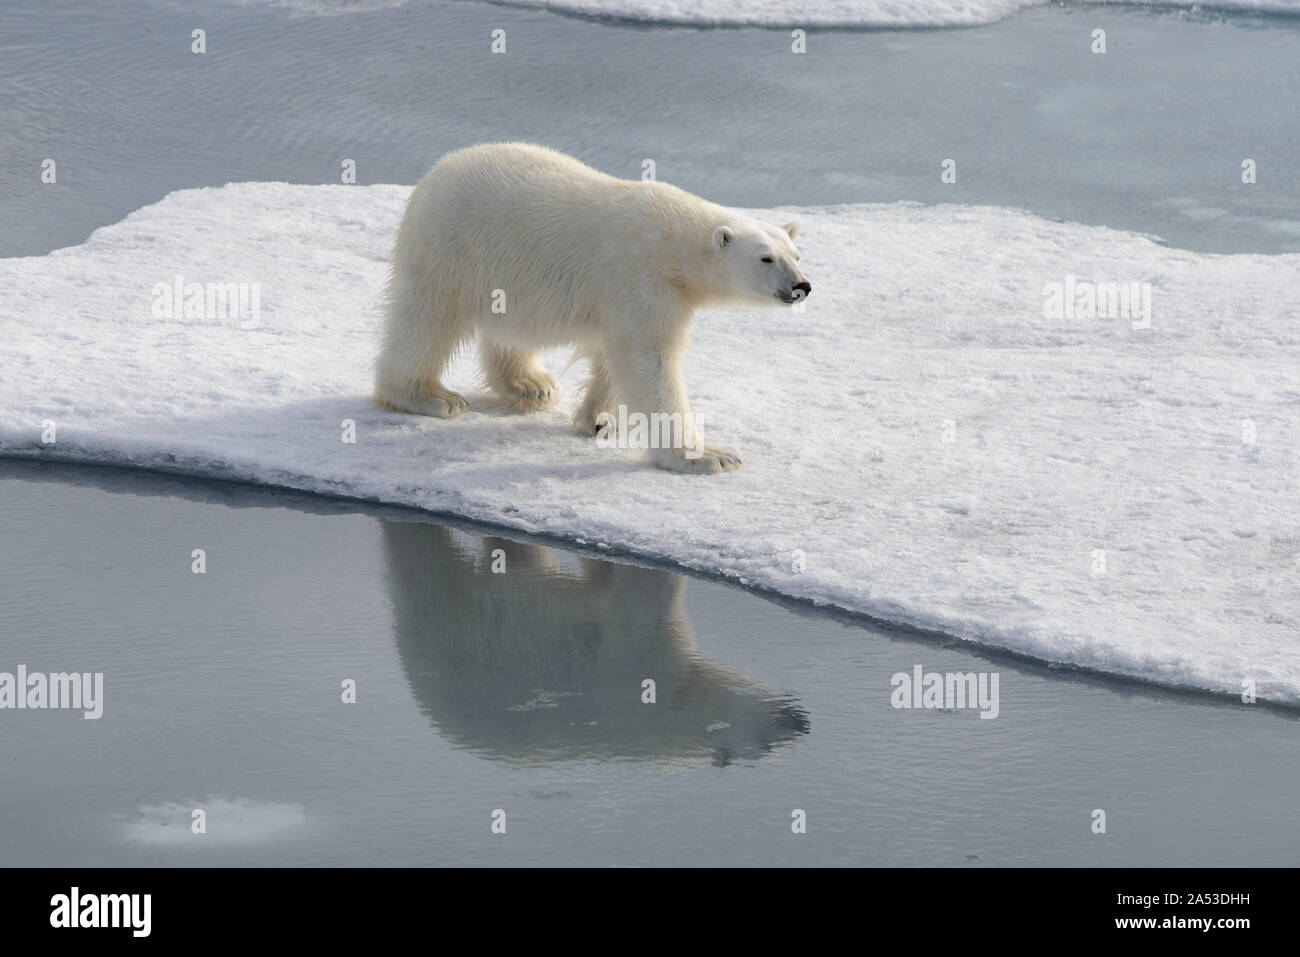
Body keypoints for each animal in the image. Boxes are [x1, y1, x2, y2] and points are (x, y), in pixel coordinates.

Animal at [373, 142, 811, 474]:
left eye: (796, 254)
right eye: (766, 258)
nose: (800, 287)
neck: (671, 245)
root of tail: (437, 170)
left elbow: (612, 353)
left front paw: (600, 419)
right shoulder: (642, 278)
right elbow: (649, 359)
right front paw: (709, 457)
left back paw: (532, 385)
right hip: (450, 246)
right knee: (427, 320)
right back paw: (429, 396)